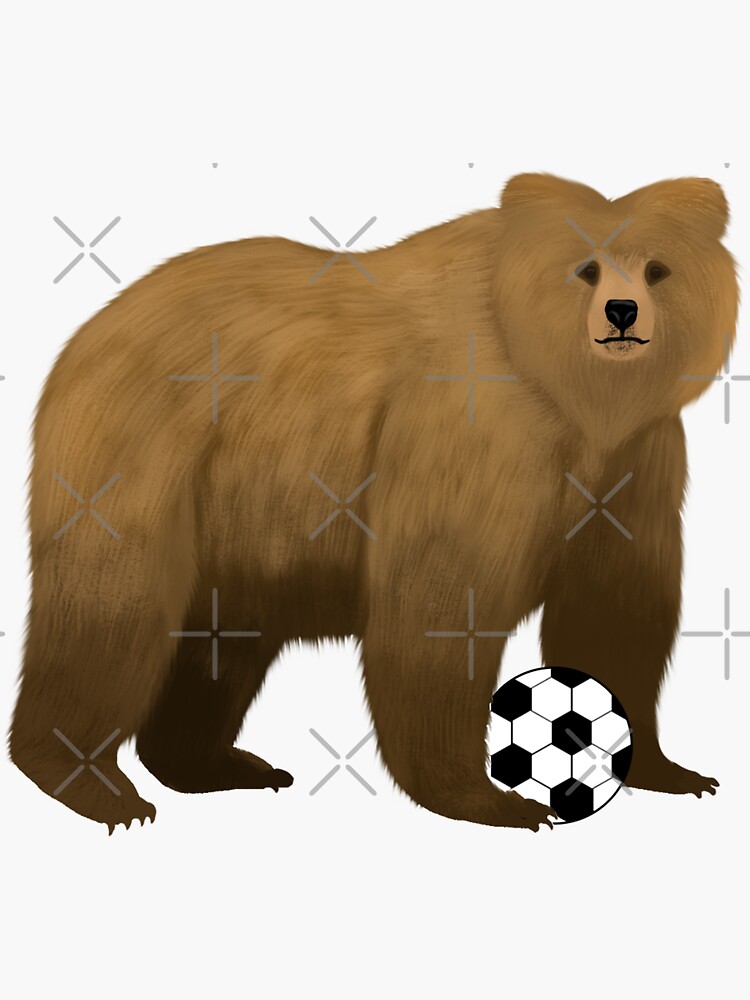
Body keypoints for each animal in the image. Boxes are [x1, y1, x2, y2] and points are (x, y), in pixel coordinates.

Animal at [9, 172, 738, 833]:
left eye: (658, 267)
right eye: (585, 268)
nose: (623, 312)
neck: (581, 401)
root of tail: (87, 333)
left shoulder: (633, 466)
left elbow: (615, 611)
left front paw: (666, 768)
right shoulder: (472, 430)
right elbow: (440, 607)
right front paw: (495, 800)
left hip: (242, 521)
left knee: (218, 640)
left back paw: (220, 766)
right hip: (147, 455)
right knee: (114, 613)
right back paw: (97, 786)